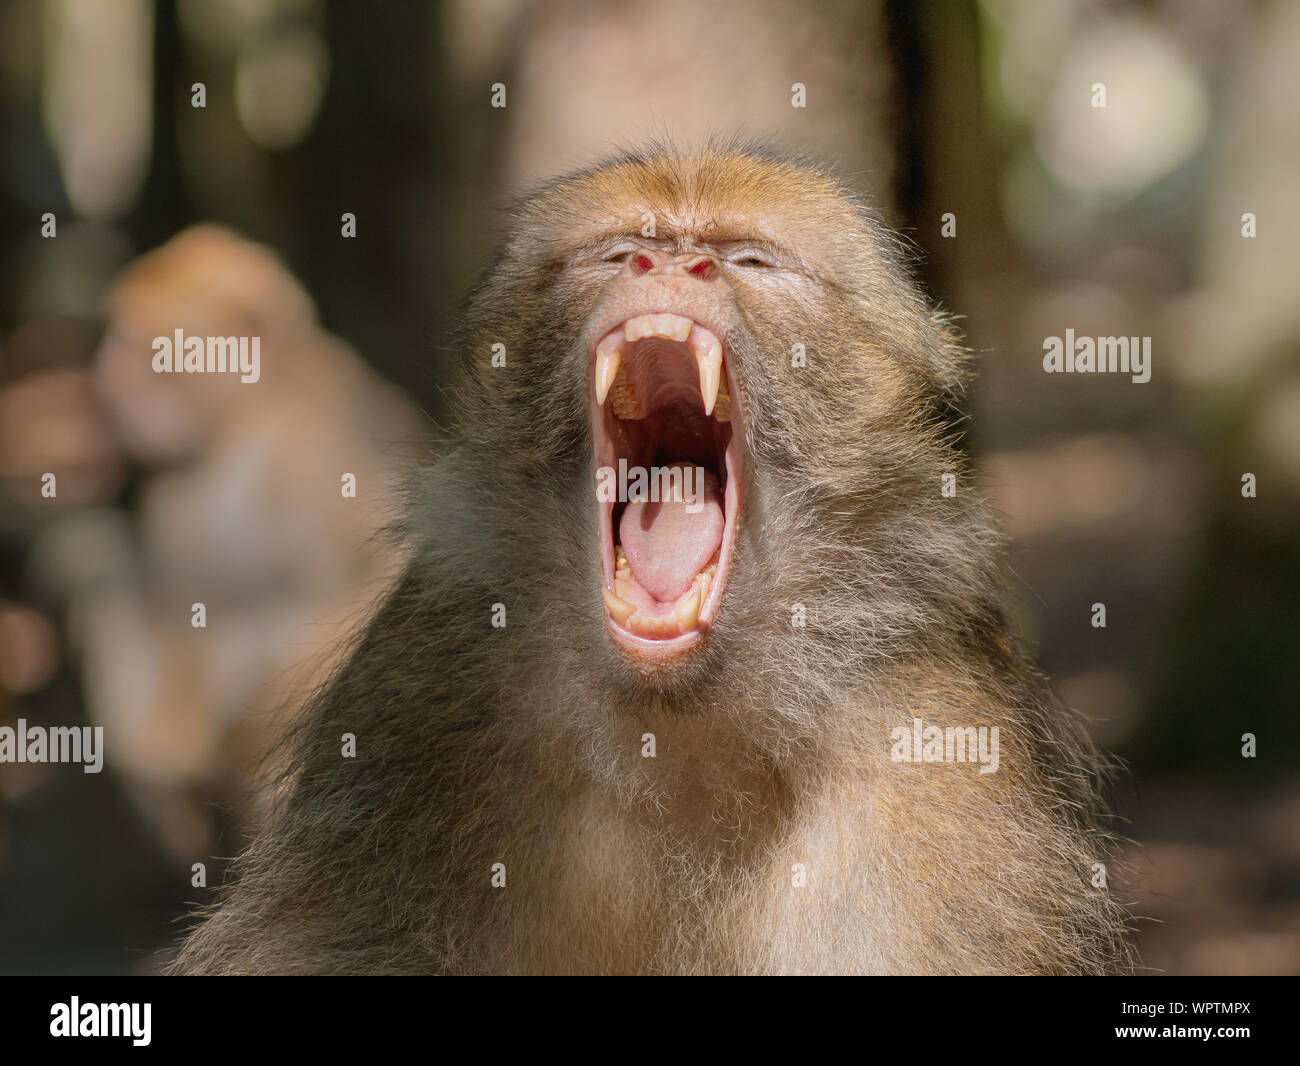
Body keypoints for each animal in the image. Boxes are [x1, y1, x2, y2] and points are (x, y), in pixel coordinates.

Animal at [173, 144, 1134, 975]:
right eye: (618, 254)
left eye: (748, 261)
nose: (671, 267)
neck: (671, 726)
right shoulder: (417, 701)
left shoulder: (943, 738)